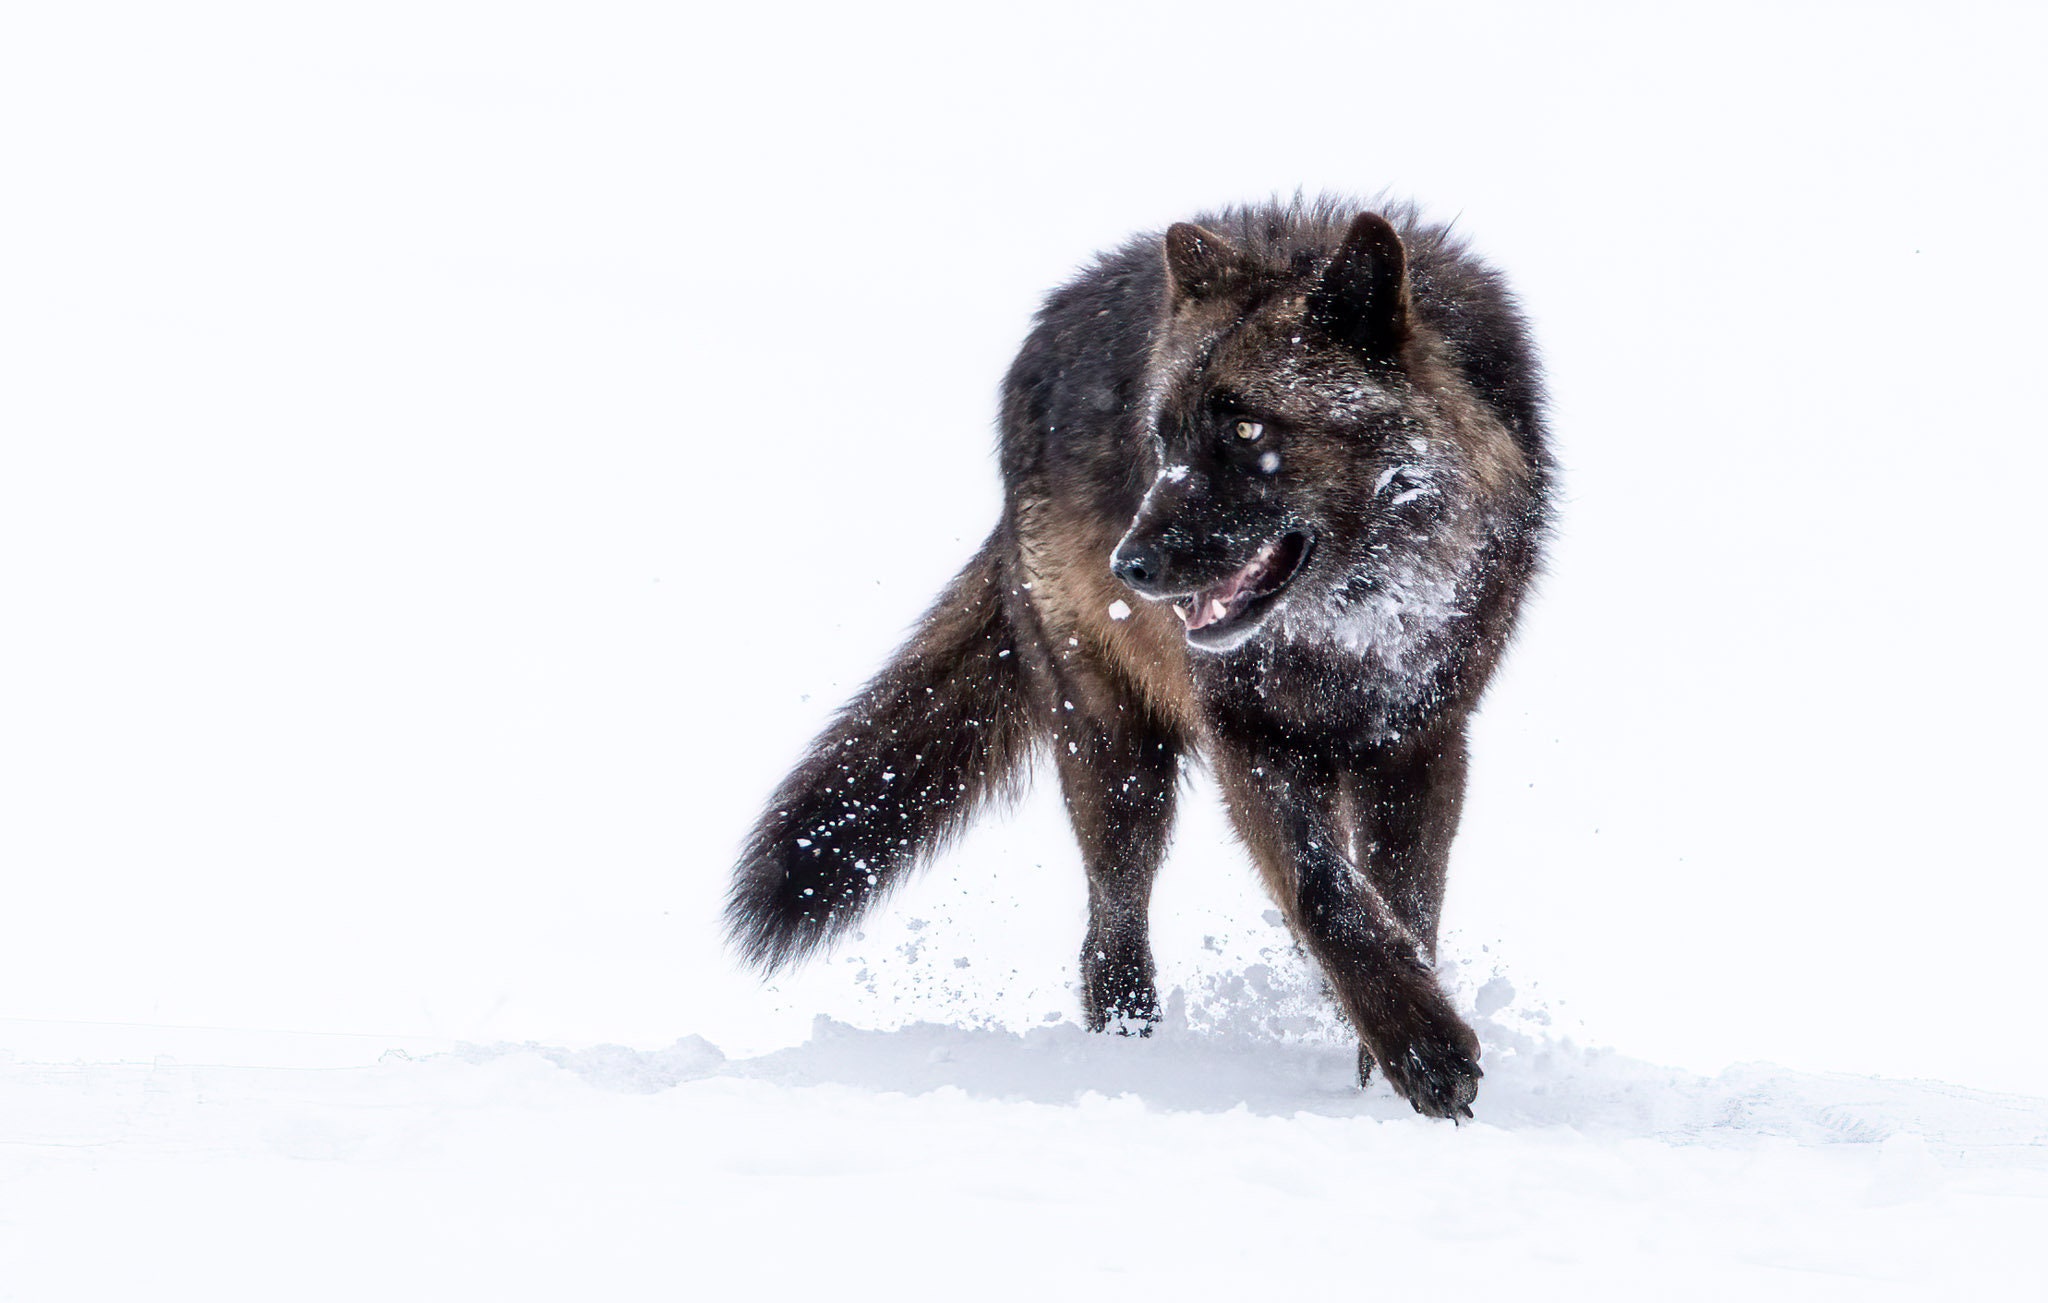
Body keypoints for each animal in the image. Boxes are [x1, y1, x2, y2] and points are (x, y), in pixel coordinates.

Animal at [725, 196, 1551, 1119]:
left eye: (1246, 427)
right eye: (1165, 439)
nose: (1131, 566)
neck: (1354, 626)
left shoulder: (1423, 741)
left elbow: (1400, 905)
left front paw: (1391, 1052)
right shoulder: (1246, 740)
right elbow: (1325, 892)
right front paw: (1424, 1050)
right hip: (1116, 755)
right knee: (1110, 930)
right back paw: (1130, 1055)